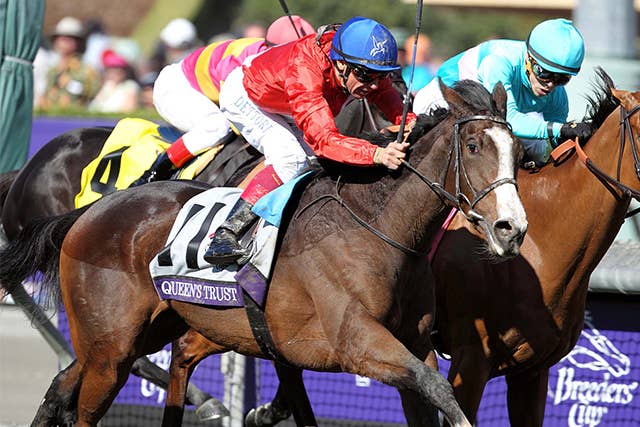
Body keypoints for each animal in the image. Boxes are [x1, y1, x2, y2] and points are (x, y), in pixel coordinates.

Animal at [0, 79, 527, 426]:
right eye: (473, 144)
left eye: (520, 152)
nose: (512, 228)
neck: (378, 226)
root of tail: (89, 212)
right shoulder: (355, 344)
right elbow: (439, 390)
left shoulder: (413, 344)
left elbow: (430, 390)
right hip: (109, 348)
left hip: (140, 333)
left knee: (63, 387)